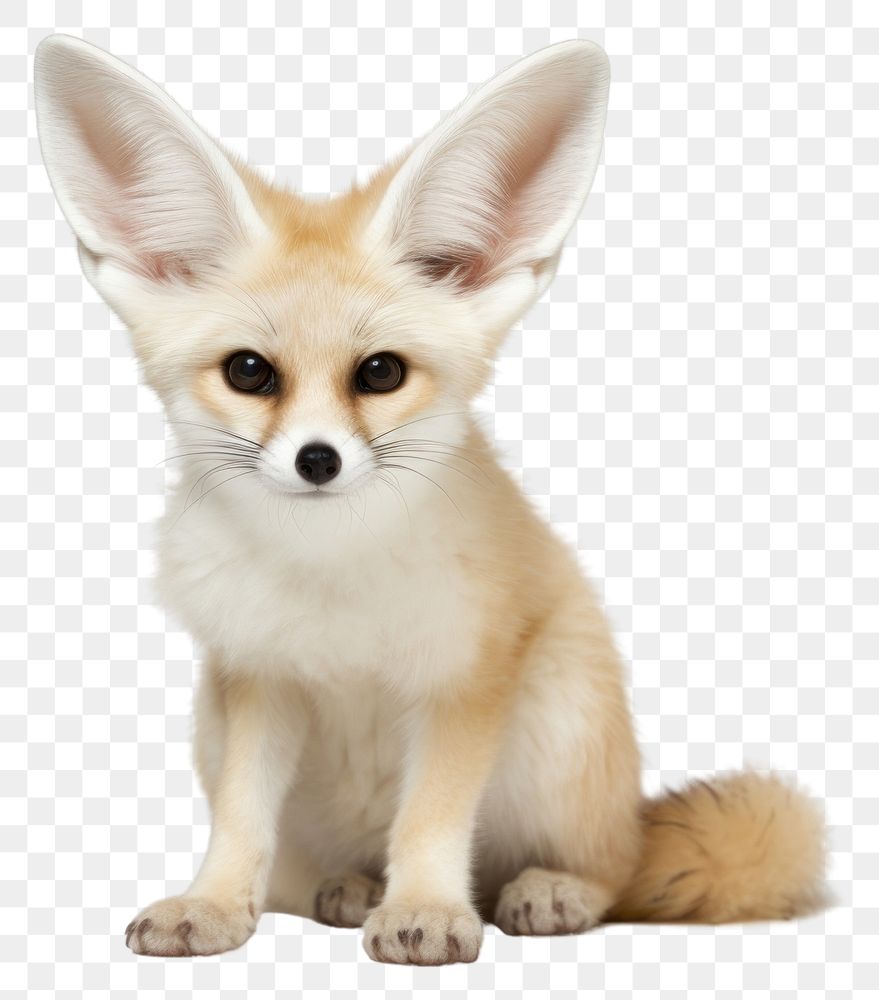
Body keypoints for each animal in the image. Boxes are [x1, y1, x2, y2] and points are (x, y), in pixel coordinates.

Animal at [34, 33, 828, 965]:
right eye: (249, 372)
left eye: (379, 373)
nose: (316, 460)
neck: (333, 575)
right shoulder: (256, 676)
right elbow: (238, 820)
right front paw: (216, 903)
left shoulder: (465, 679)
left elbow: (432, 818)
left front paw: (425, 908)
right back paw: (350, 890)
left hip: (561, 720)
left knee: (613, 871)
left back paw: (547, 889)